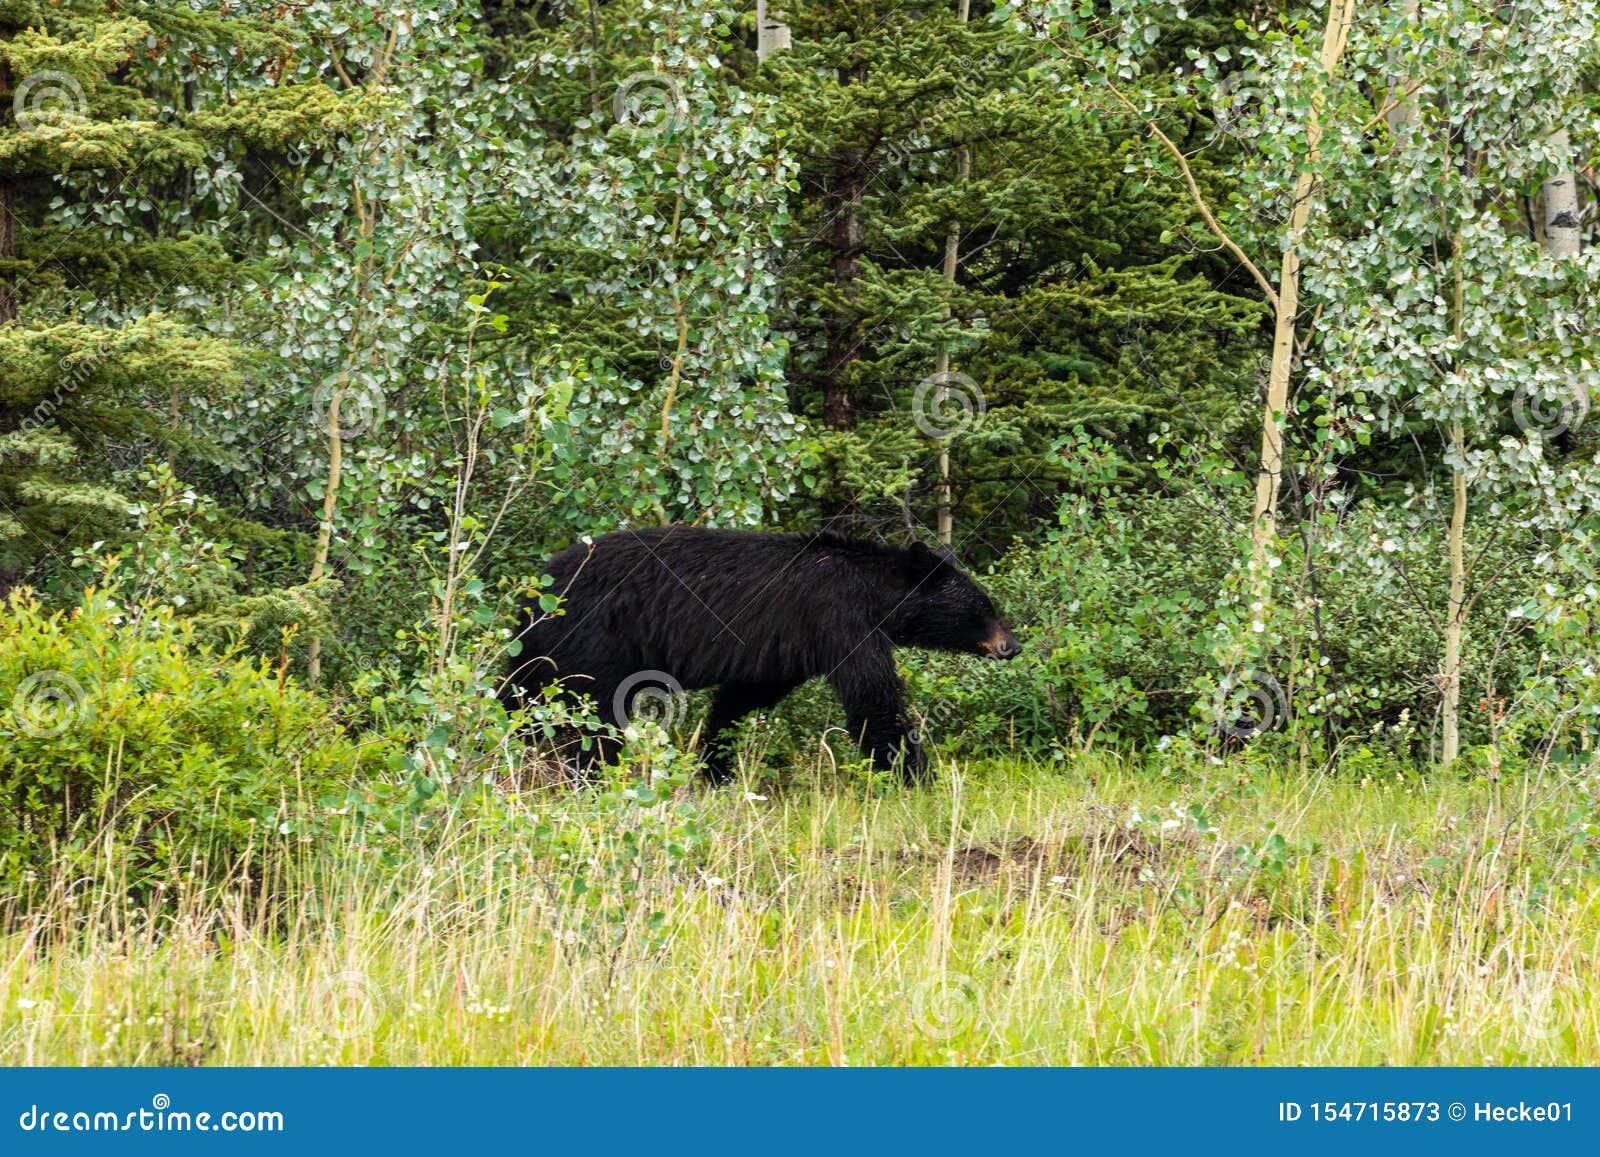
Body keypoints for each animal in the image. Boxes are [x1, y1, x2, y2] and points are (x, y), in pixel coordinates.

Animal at [501, 526, 1021, 781]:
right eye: (984, 606)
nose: (1012, 646)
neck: (874, 594)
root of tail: (539, 587)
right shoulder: (836, 620)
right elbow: (872, 697)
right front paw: (916, 774)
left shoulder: (786, 647)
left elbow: (743, 698)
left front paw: (716, 765)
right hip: (599, 638)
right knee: (596, 712)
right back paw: (592, 772)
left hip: (543, 647)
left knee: (518, 693)